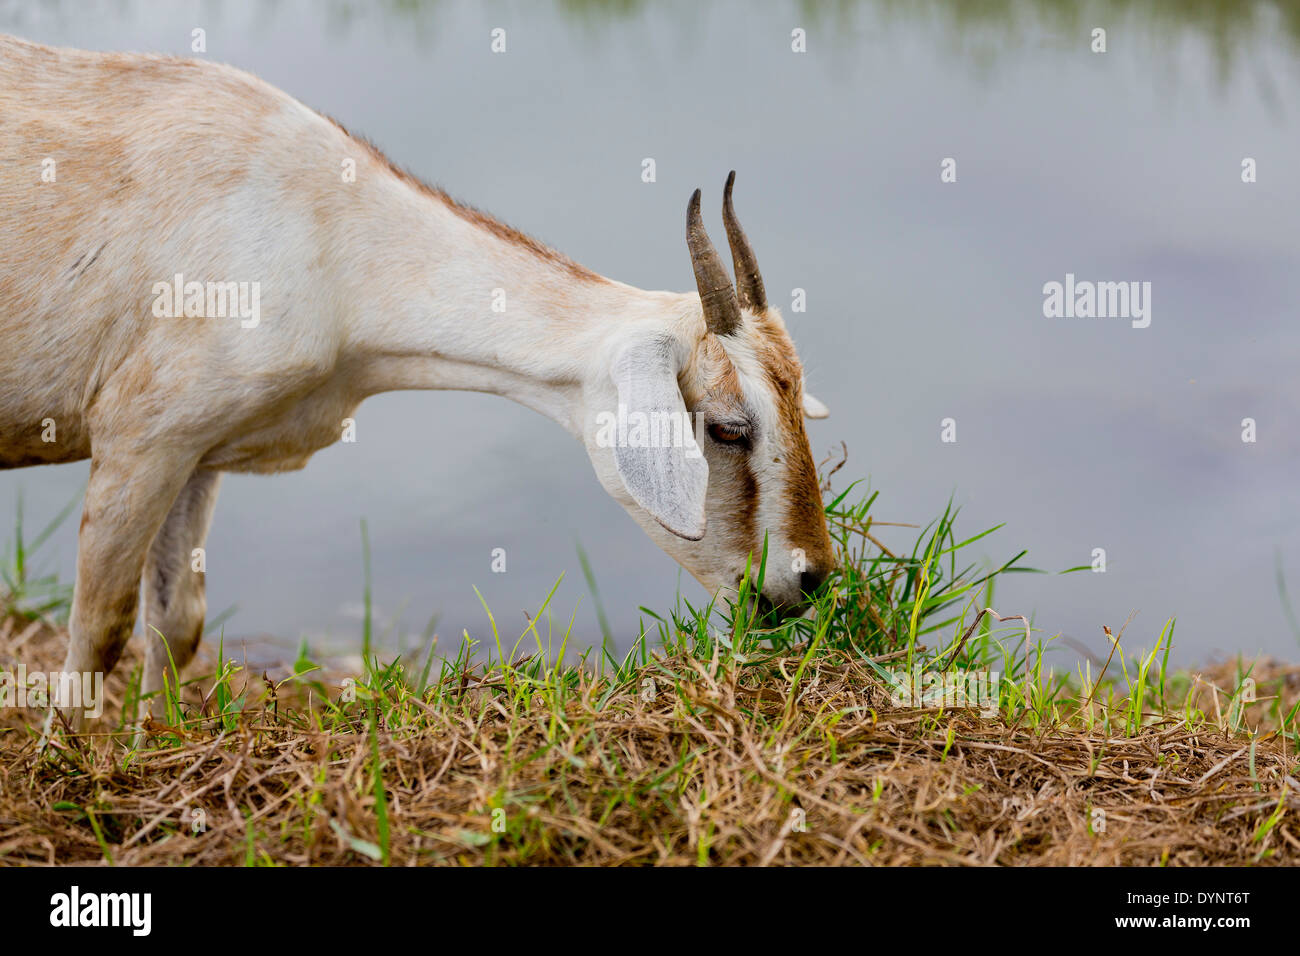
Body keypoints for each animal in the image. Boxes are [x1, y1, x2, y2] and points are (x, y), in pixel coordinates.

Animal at [0, 34, 834, 731]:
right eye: (728, 427)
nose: (811, 578)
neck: (326, 238)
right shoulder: (137, 438)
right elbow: (100, 628)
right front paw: (69, 768)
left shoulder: (196, 452)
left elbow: (176, 622)